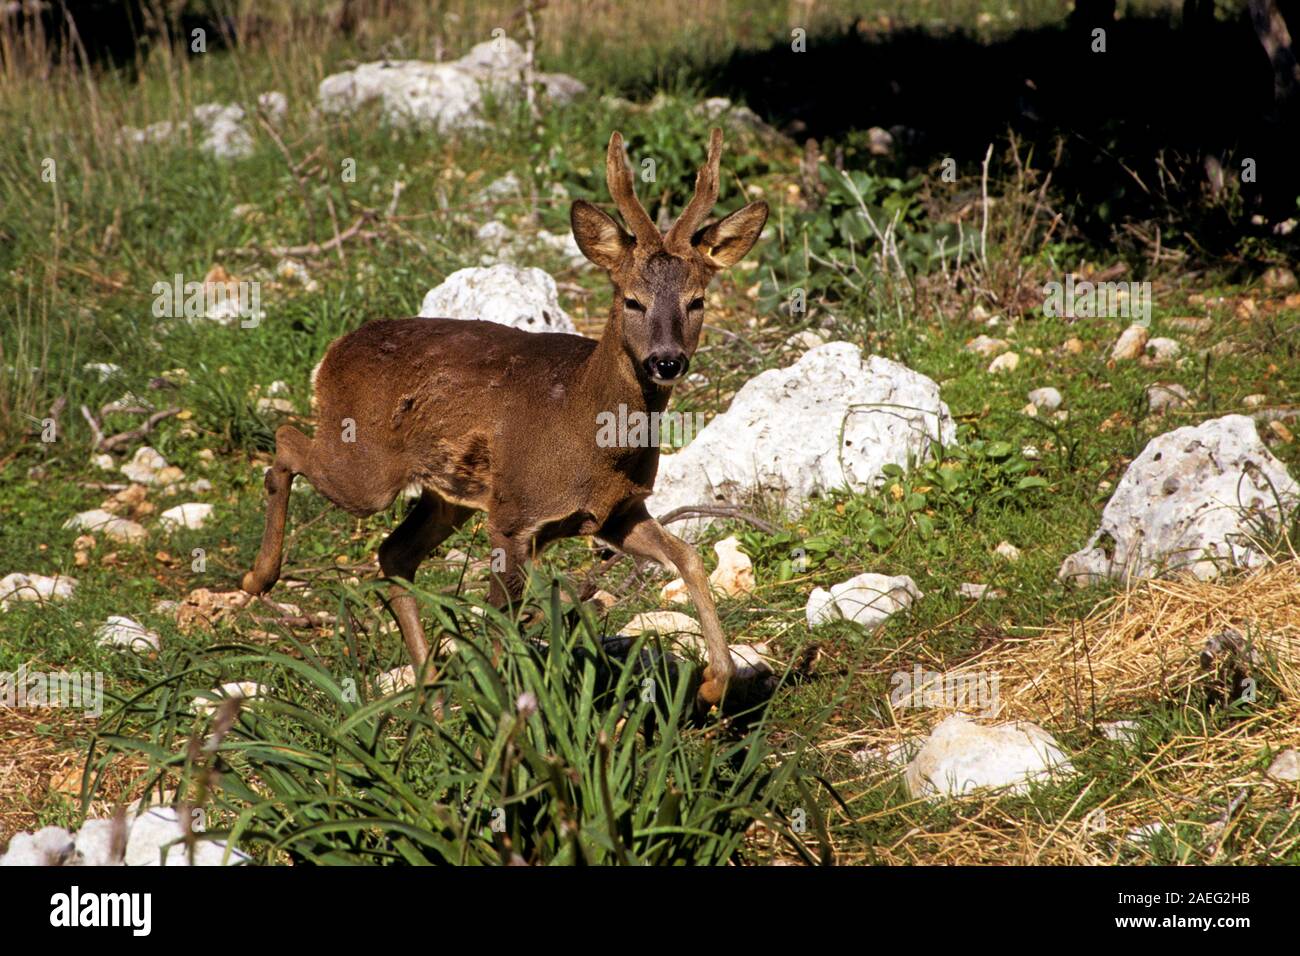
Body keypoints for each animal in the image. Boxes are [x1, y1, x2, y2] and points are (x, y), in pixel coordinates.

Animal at [241, 128, 768, 710]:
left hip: (446, 496)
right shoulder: (514, 516)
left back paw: (430, 689)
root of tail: (333, 353)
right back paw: (257, 578)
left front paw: (715, 682)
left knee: (393, 551)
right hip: (364, 470)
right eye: (632, 300)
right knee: (287, 441)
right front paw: (498, 709)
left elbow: (688, 556)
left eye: (697, 301)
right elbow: (501, 616)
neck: (588, 433)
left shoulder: (617, 512)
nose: (666, 360)